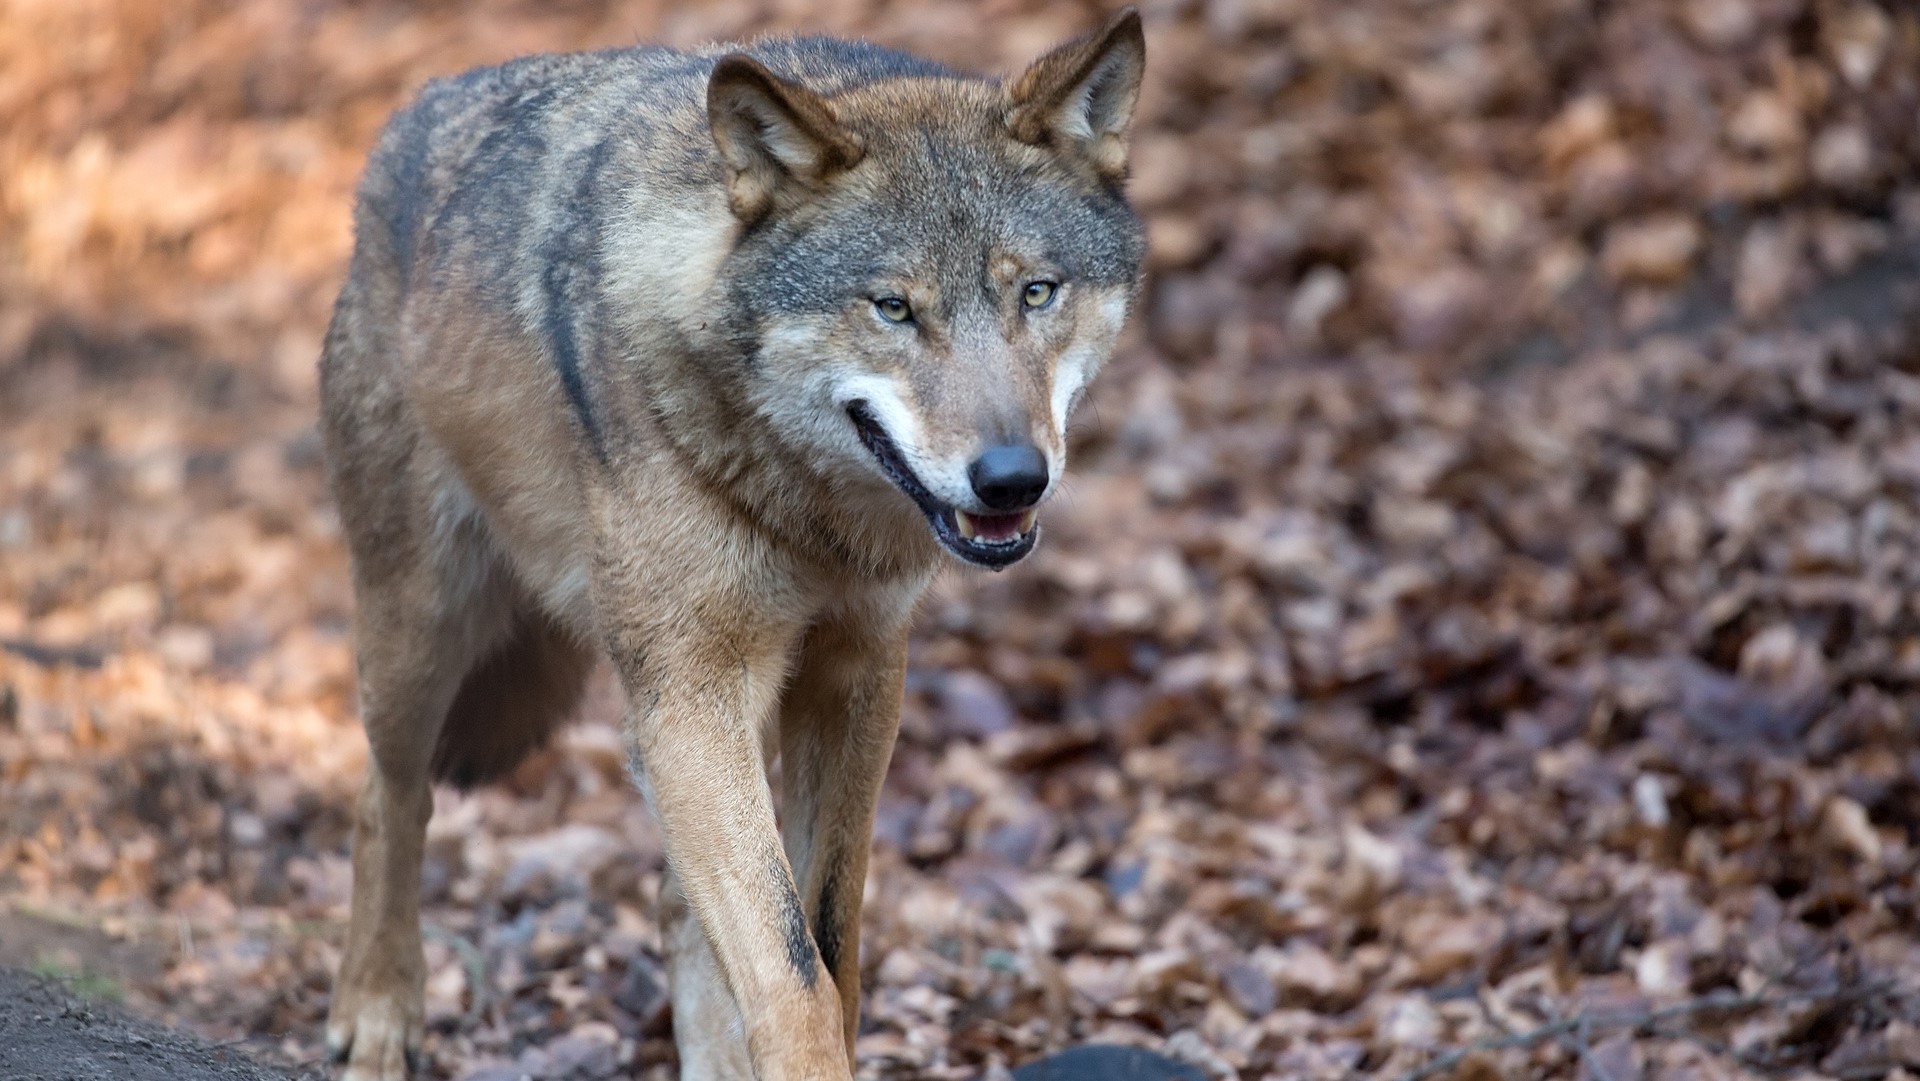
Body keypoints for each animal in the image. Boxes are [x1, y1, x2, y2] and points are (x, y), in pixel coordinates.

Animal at [317, 9, 1146, 1080]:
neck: (809, 515)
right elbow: (792, 975)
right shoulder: (691, 694)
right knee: (389, 796)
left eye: (1037, 293)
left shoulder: (856, 673)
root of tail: (407, 118)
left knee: (677, 908)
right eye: (893, 307)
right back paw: (377, 1012)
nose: (1011, 478)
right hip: (421, 641)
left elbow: (830, 947)